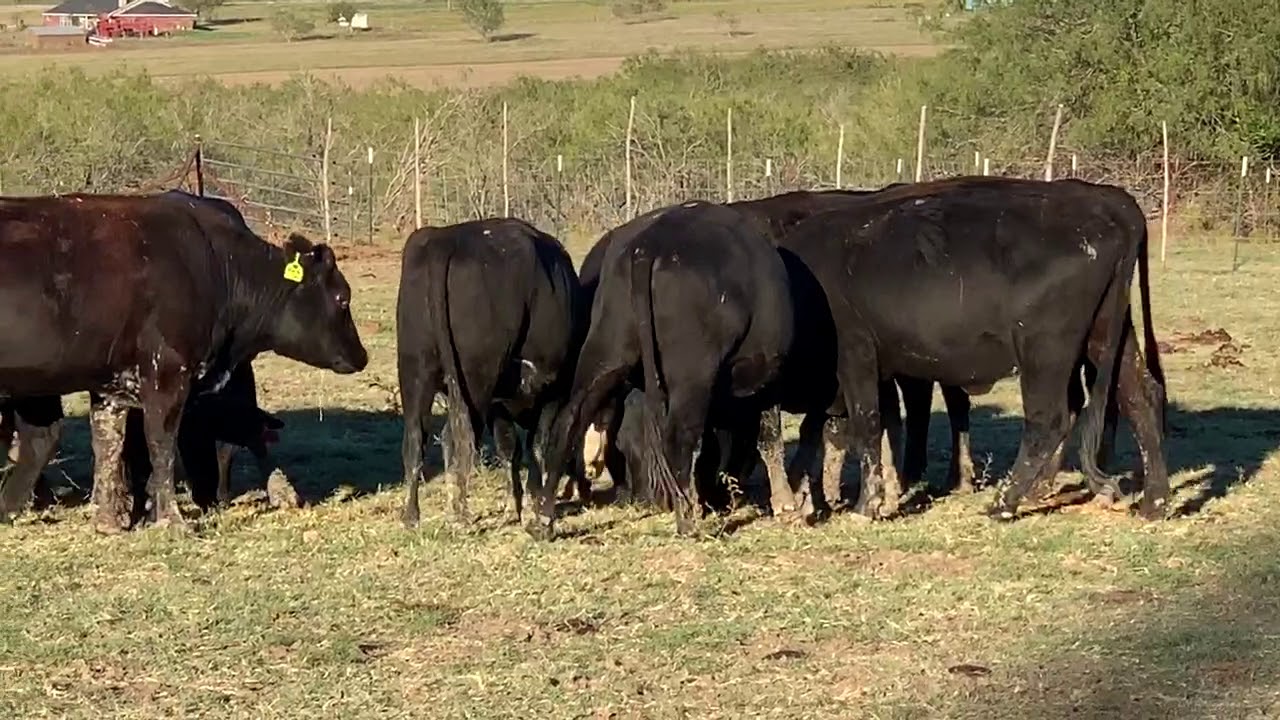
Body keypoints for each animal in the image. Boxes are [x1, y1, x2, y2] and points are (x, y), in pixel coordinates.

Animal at [0, 192, 368, 534]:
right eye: (342, 298)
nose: (361, 356)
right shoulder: (168, 374)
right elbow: (160, 445)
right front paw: (172, 520)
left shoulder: (111, 385)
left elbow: (108, 445)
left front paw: (108, 521)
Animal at [397, 217, 585, 528]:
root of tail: (445, 238)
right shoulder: (553, 389)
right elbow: (537, 446)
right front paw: (535, 502)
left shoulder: (499, 404)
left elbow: (509, 447)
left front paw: (514, 506)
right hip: (474, 383)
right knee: (454, 439)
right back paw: (459, 513)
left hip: (415, 370)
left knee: (415, 438)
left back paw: (411, 517)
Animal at [530, 200, 795, 539]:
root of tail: (649, 246)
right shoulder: (766, 382)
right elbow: (769, 437)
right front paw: (786, 504)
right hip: (692, 375)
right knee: (678, 437)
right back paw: (688, 522)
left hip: (605, 352)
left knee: (568, 422)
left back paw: (543, 521)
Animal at [775, 176, 1166, 521]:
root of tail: (1104, 203)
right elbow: (845, 429)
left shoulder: (856, 356)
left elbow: (865, 425)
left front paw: (864, 506)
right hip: (1106, 336)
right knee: (1139, 397)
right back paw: (1154, 503)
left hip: (1045, 351)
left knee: (1050, 419)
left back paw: (1004, 503)